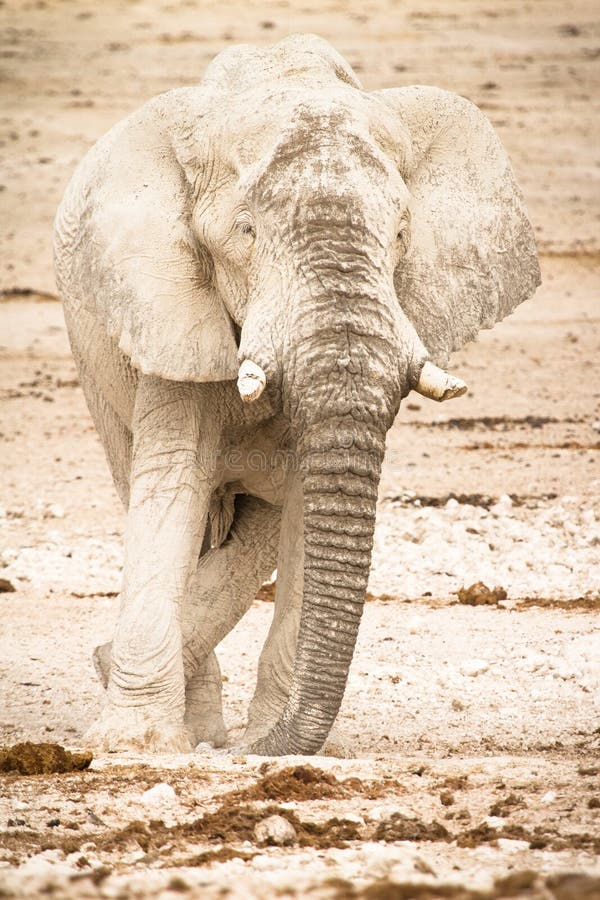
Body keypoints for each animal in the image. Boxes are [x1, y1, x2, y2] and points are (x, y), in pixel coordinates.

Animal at [53, 34, 540, 756]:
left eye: (401, 234)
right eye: (247, 233)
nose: (247, 752)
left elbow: (306, 497)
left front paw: (268, 741)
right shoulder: (170, 308)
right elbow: (175, 485)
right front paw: (133, 743)